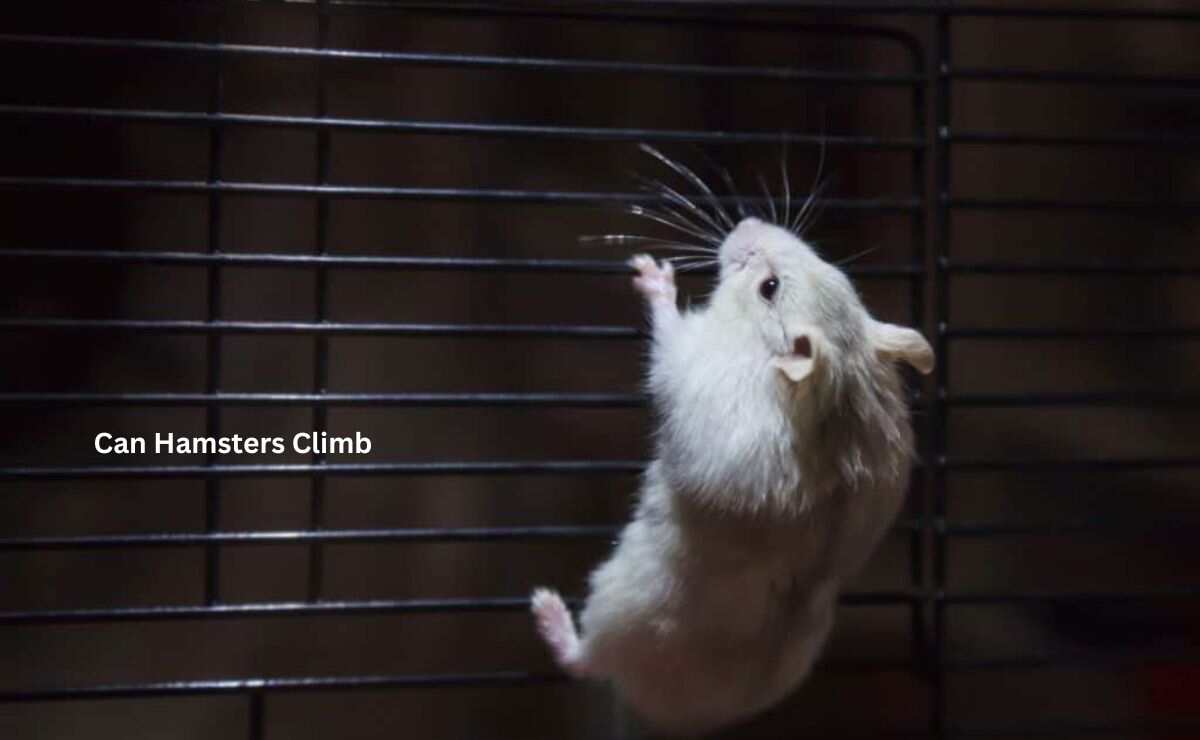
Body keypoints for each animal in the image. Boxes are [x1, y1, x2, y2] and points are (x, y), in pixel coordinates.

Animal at [531, 216, 933, 736]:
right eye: (831, 267)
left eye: (769, 287)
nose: (748, 222)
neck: (837, 385)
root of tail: (673, 716)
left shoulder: (696, 368)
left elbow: (668, 340)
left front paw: (653, 273)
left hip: (614, 606)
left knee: (583, 663)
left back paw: (548, 612)